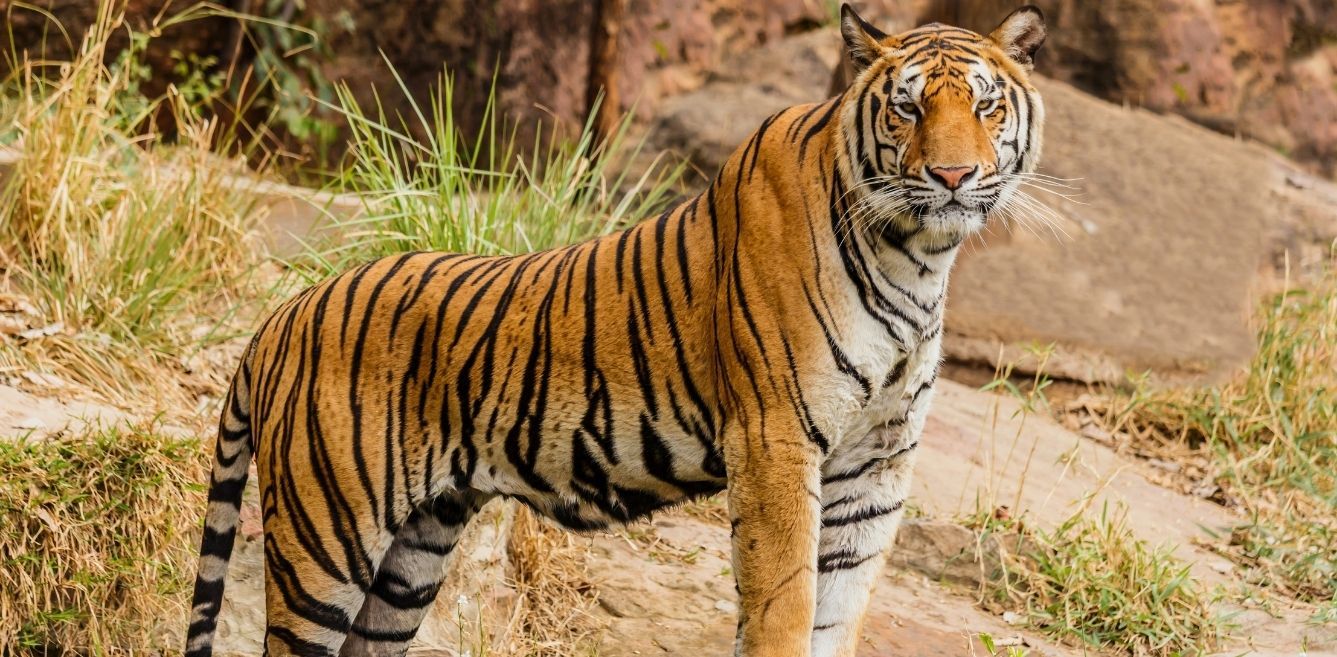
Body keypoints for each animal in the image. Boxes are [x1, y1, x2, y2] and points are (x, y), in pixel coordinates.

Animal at [185, 4, 1046, 656]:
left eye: (985, 105)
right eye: (907, 107)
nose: (952, 177)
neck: (917, 257)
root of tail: (281, 315)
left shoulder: (876, 463)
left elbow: (838, 611)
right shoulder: (774, 438)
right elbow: (785, 603)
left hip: (412, 555)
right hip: (326, 537)